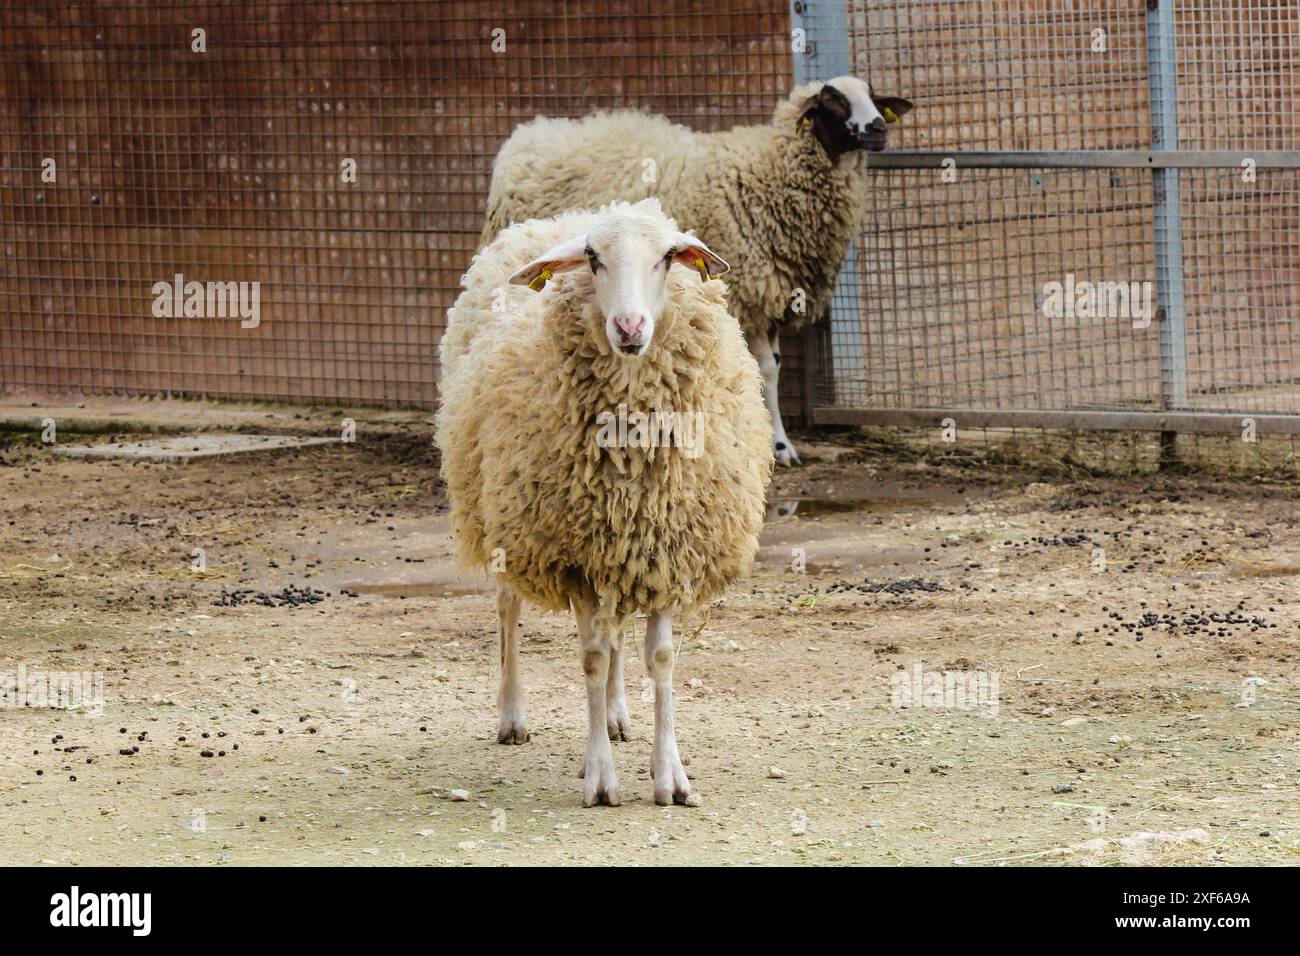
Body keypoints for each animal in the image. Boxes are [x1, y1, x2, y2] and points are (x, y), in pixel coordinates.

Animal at [437, 198, 773, 807]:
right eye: (594, 259)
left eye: (668, 256)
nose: (629, 327)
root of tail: (556, 221)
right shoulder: (572, 557)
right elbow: (590, 656)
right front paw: (599, 776)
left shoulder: (663, 546)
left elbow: (659, 659)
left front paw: (670, 775)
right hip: (502, 513)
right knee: (509, 609)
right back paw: (512, 714)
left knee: (615, 628)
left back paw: (616, 714)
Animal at [482, 75, 913, 467]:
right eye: (831, 101)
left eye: (873, 96)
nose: (878, 128)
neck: (770, 171)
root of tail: (529, 132)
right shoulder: (748, 291)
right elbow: (761, 369)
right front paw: (776, 444)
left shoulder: (770, 292)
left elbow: (772, 368)